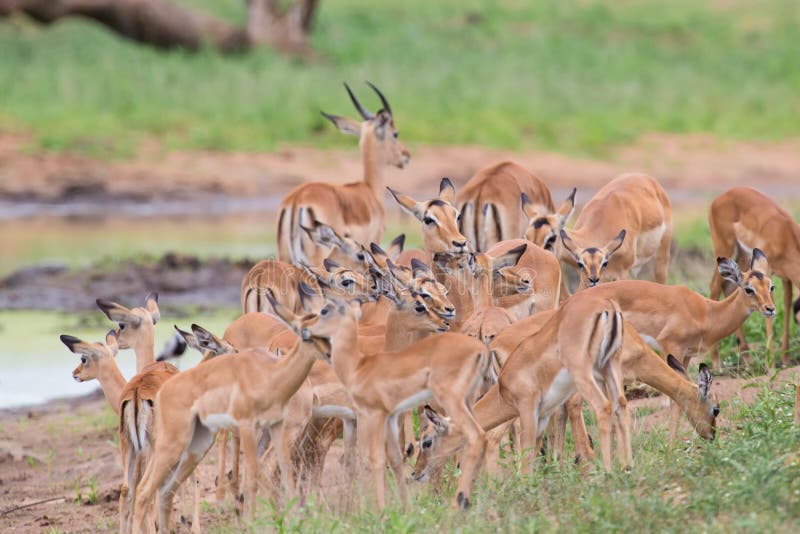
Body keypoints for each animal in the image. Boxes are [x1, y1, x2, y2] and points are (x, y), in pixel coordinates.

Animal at [310, 297, 490, 510]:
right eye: (419, 305)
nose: (445, 320)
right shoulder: (368, 419)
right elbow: (370, 460)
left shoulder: (370, 418)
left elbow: (379, 459)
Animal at [709, 187, 800, 367]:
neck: (786, 236)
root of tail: (722, 196)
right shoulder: (768, 272)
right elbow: (769, 314)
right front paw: (770, 364)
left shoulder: (786, 278)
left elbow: (786, 304)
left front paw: (785, 359)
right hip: (724, 248)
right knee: (714, 288)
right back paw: (716, 361)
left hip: (743, 255)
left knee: (729, 287)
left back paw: (746, 356)